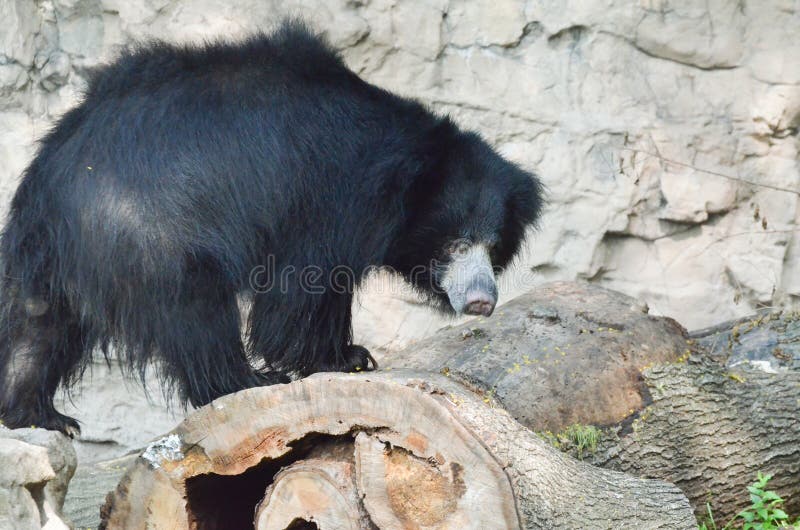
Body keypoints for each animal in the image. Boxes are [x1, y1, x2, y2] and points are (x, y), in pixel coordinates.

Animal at [0, 21, 543, 436]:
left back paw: (36, 413)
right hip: (150, 227)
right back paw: (248, 381)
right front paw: (347, 357)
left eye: (494, 245)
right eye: (455, 242)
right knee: (195, 313)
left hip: (51, 251)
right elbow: (303, 287)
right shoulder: (331, 198)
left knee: (38, 326)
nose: (482, 301)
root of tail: (58, 170)